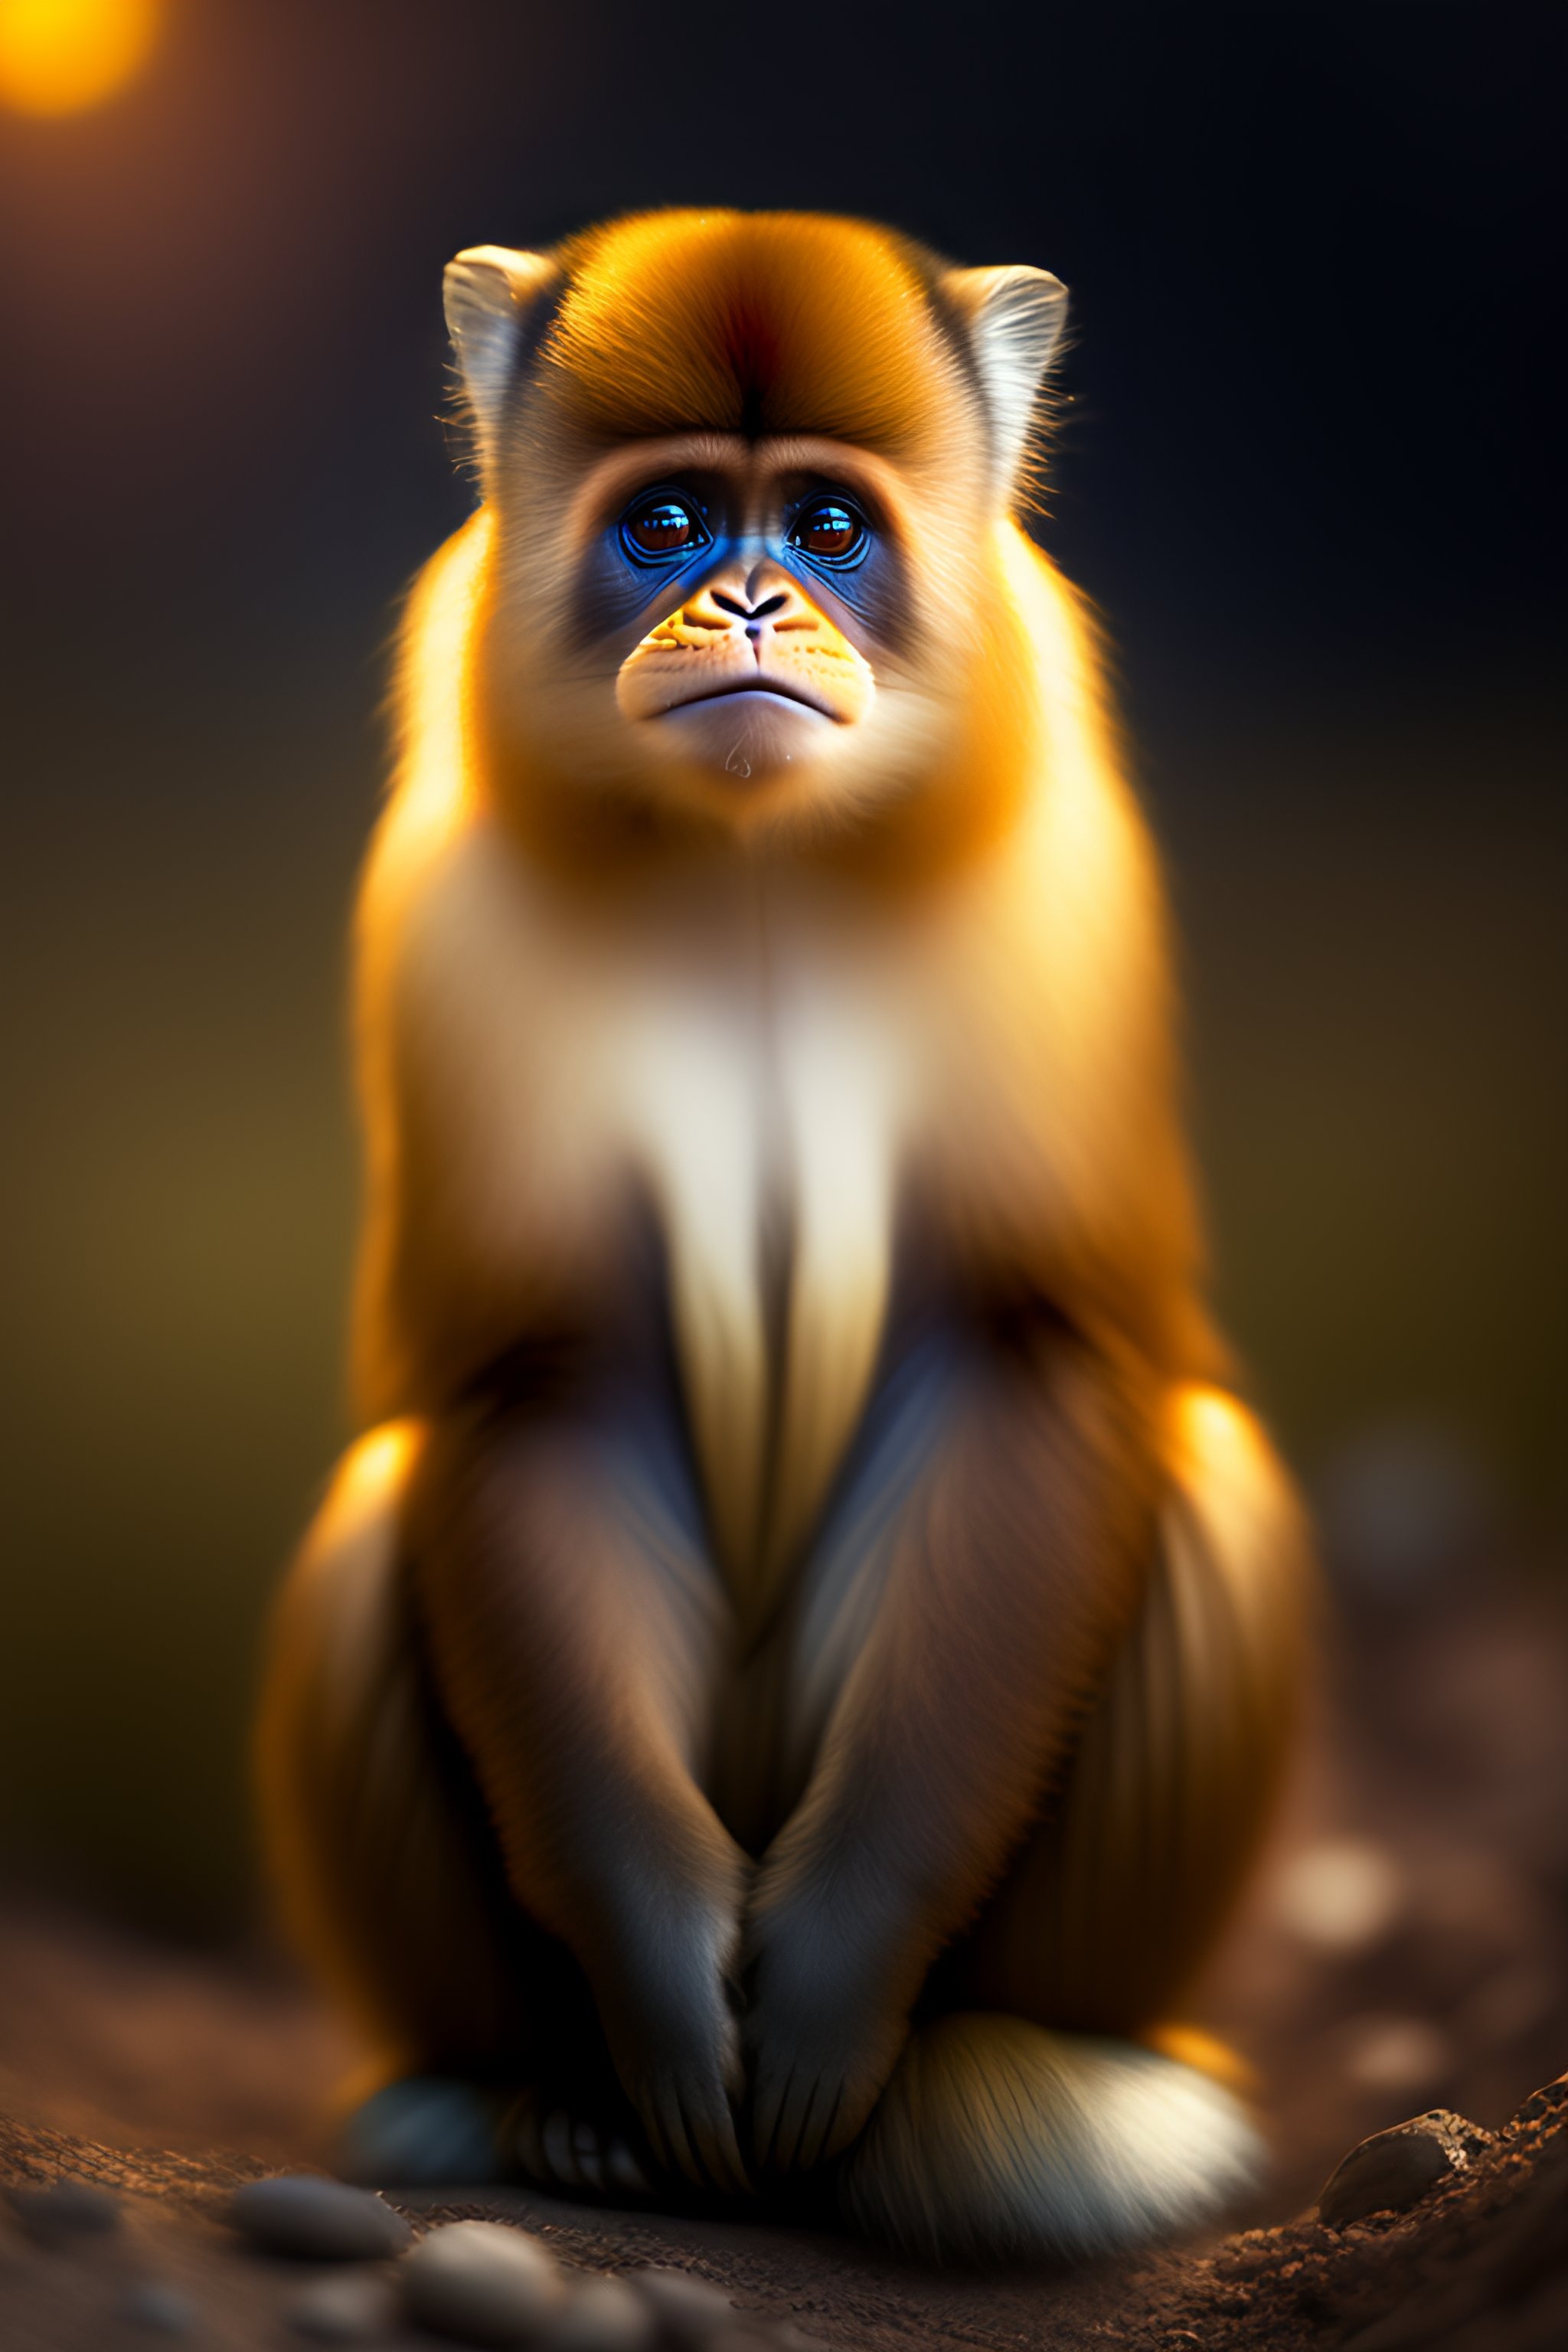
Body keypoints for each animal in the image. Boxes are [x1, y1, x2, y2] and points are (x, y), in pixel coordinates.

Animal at [255, 208, 1313, 2264]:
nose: (746, 601)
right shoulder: (448, 918)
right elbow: (539, 1385)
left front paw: (820, 1999)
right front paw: (671, 2010)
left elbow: (1028, 1350)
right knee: (371, 1518)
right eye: (668, 522)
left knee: (1208, 1466)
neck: (749, 864)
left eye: (824, 527)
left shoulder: (1059, 895)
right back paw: (545, 2103)